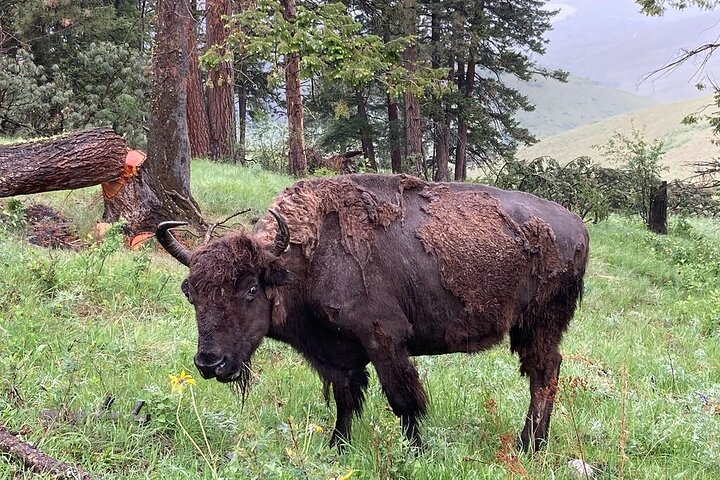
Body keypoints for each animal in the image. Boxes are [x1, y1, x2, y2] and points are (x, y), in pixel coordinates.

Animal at [156, 173, 589, 451]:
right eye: (192, 295)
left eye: (249, 289)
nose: (209, 363)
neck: (309, 257)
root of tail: (577, 224)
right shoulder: (339, 355)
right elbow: (346, 401)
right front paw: (338, 447)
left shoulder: (385, 342)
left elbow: (404, 401)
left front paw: (416, 452)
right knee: (546, 372)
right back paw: (533, 444)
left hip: (541, 323)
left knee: (543, 374)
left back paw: (528, 446)